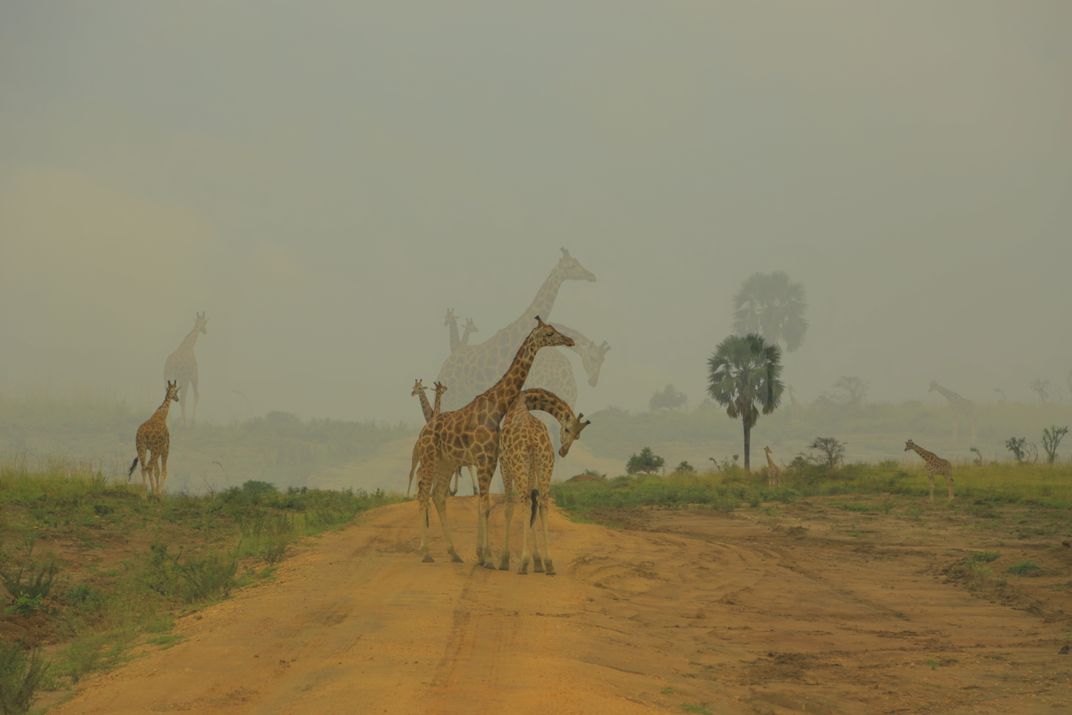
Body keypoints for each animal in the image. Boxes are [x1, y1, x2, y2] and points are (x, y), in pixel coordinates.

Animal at [411, 317, 574, 566]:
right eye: (548, 333)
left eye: (554, 330)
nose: (569, 340)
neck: (497, 408)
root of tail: (423, 432)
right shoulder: (483, 460)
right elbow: (485, 505)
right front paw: (487, 558)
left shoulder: (490, 460)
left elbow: (484, 504)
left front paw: (483, 555)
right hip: (430, 458)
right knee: (422, 496)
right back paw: (426, 552)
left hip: (447, 462)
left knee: (438, 495)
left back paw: (454, 552)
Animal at [499, 388, 590, 575]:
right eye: (568, 430)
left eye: (577, 436)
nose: (563, 451)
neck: (523, 401)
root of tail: (533, 442)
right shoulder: (533, 472)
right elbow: (535, 508)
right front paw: (538, 562)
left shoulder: (504, 465)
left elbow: (509, 508)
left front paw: (505, 560)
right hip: (545, 467)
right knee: (543, 505)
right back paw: (548, 563)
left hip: (520, 467)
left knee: (526, 504)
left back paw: (523, 562)